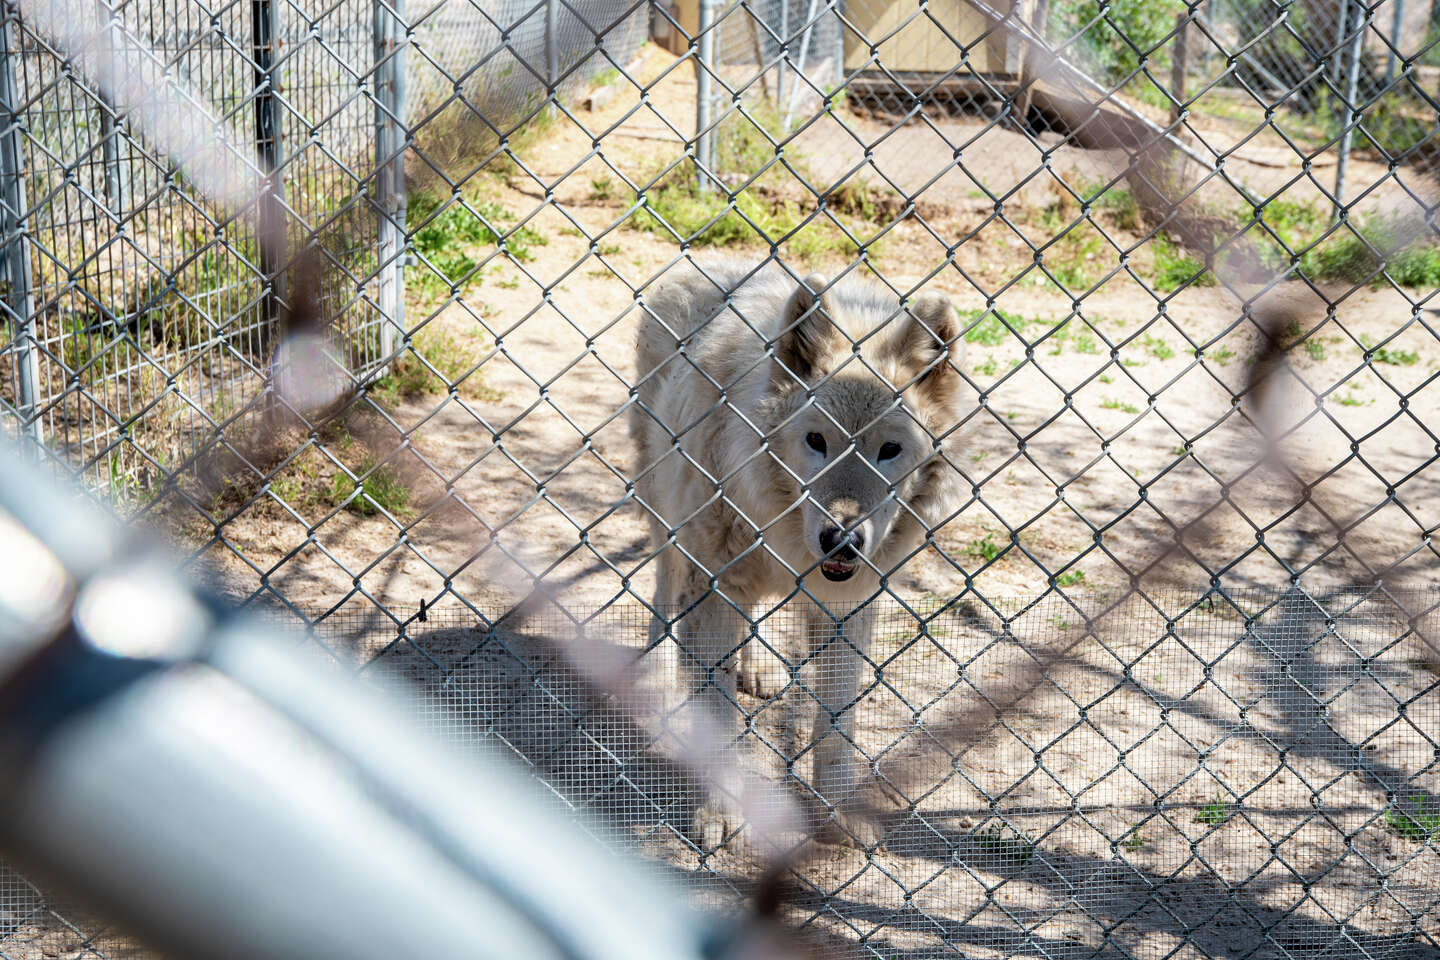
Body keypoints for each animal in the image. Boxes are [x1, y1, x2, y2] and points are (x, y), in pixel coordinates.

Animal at [630, 259, 967, 847]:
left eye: (890, 450)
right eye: (816, 441)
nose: (843, 539)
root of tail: (705, 261)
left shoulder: (847, 605)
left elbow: (836, 724)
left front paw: (840, 811)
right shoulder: (712, 585)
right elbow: (719, 719)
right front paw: (720, 813)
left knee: (755, 614)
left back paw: (761, 665)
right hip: (665, 510)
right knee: (662, 586)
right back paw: (655, 669)